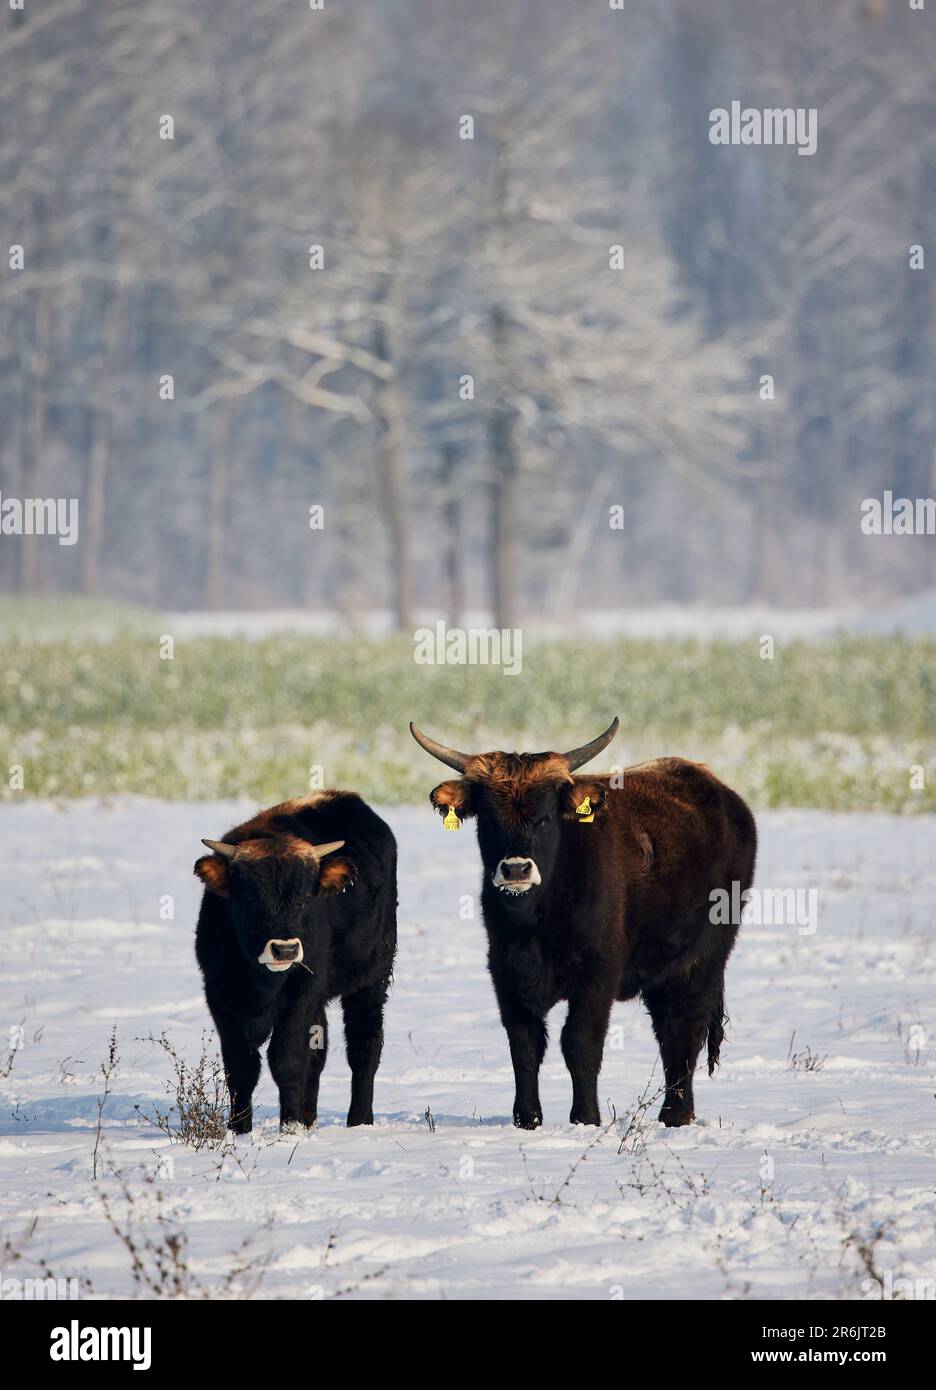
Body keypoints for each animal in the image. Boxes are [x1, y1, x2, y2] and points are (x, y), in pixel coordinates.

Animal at [194, 791, 397, 1134]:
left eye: (304, 898)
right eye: (251, 898)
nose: (285, 950)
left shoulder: (303, 991)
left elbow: (287, 1061)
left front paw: (289, 1128)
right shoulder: (219, 996)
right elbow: (241, 1067)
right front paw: (240, 1130)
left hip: (372, 978)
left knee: (364, 1044)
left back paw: (359, 1121)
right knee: (318, 1055)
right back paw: (310, 1120)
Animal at [410, 718, 756, 1129]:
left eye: (544, 816)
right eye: (489, 819)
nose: (516, 869)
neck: (537, 920)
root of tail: (718, 791)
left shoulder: (598, 974)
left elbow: (580, 1042)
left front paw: (586, 1117)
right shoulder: (505, 971)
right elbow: (524, 1044)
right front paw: (526, 1119)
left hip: (703, 959)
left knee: (682, 1030)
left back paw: (675, 1114)